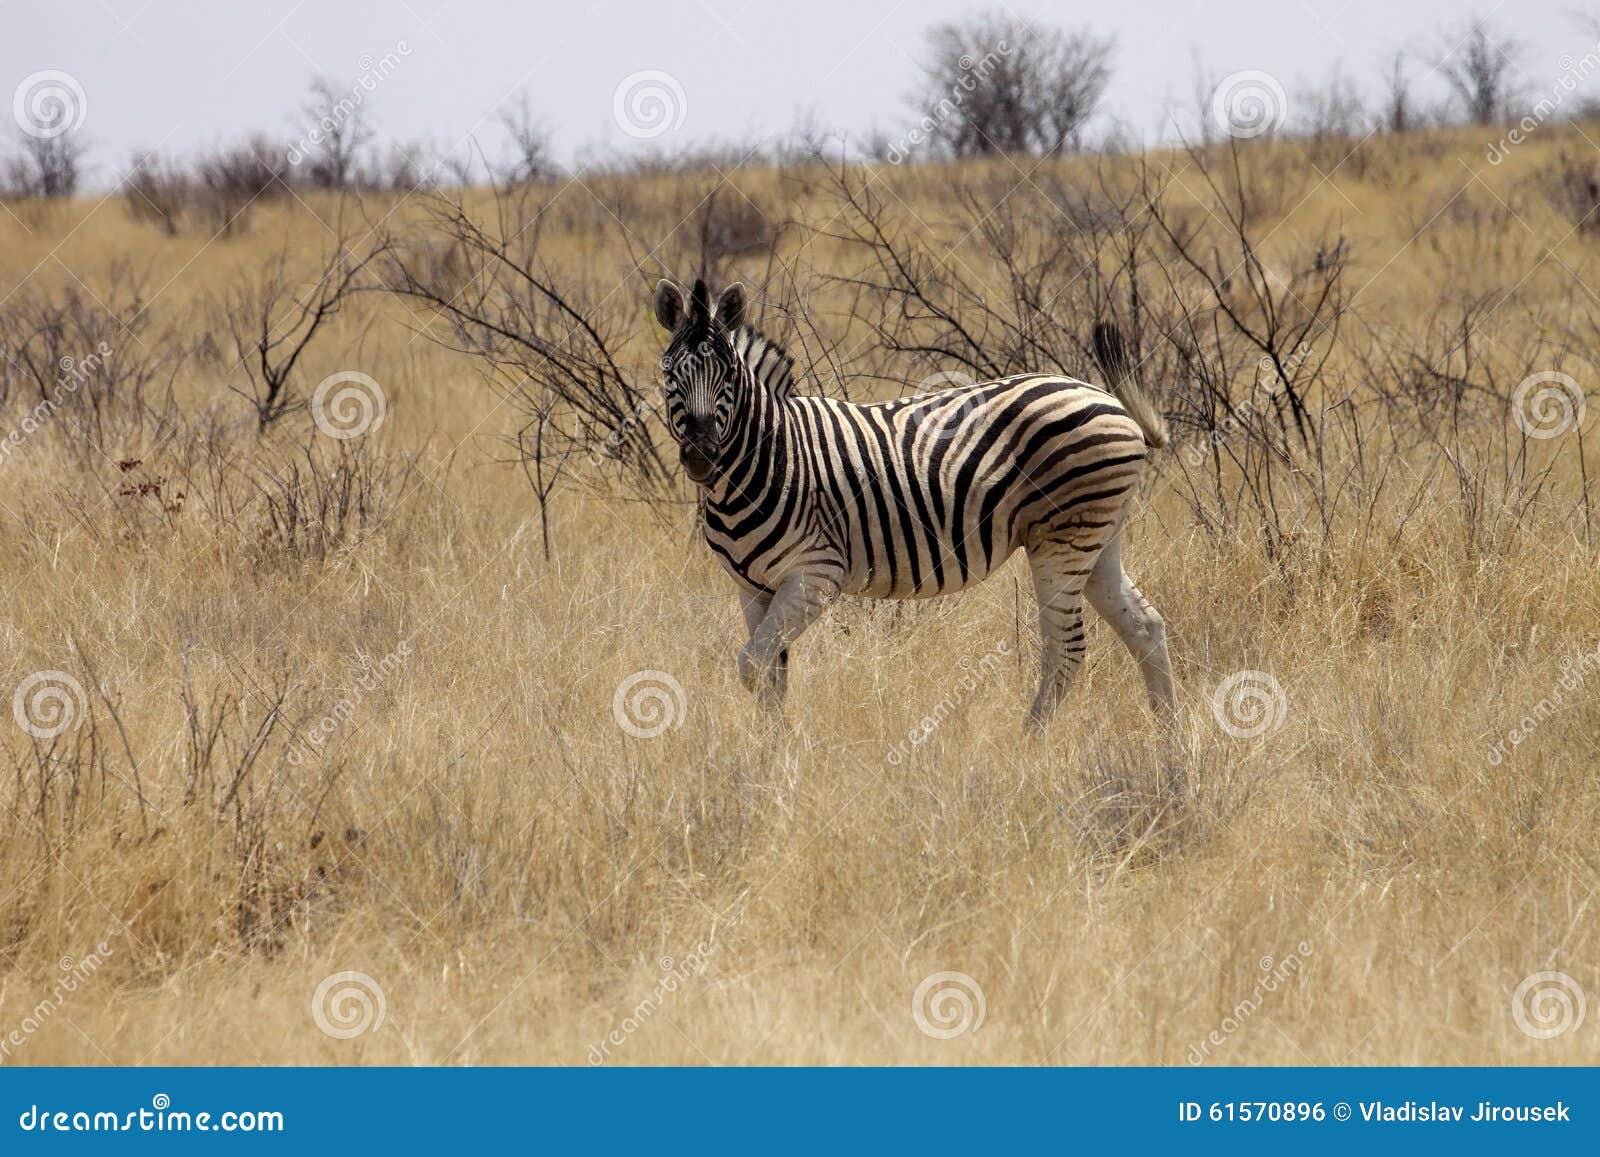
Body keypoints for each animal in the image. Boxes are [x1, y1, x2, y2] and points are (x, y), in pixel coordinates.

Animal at [653, 276, 1175, 727]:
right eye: (669, 375)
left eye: (727, 376)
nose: (701, 455)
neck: (765, 458)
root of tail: (1111, 401)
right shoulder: (752, 586)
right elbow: (771, 676)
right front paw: (771, 755)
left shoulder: (814, 575)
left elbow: (752, 666)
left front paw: (774, 754)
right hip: (1098, 536)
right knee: (1145, 626)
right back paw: (1166, 736)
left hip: (1061, 539)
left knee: (1065, 649)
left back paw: (1031, 740)